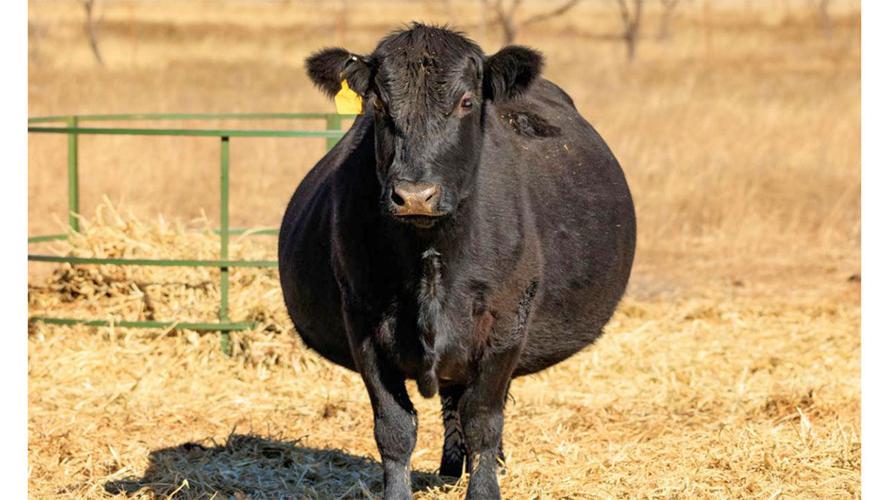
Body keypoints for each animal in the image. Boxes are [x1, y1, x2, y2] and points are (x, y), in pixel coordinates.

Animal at [278, 23, 636, 500]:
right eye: (378, 103)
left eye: (466, 102)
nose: (415, 195)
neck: (430, 255)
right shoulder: (363, 324)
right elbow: (394, 428)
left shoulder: (505, 323)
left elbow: (483, 418)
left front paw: (485, 486)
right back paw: (451, 468)